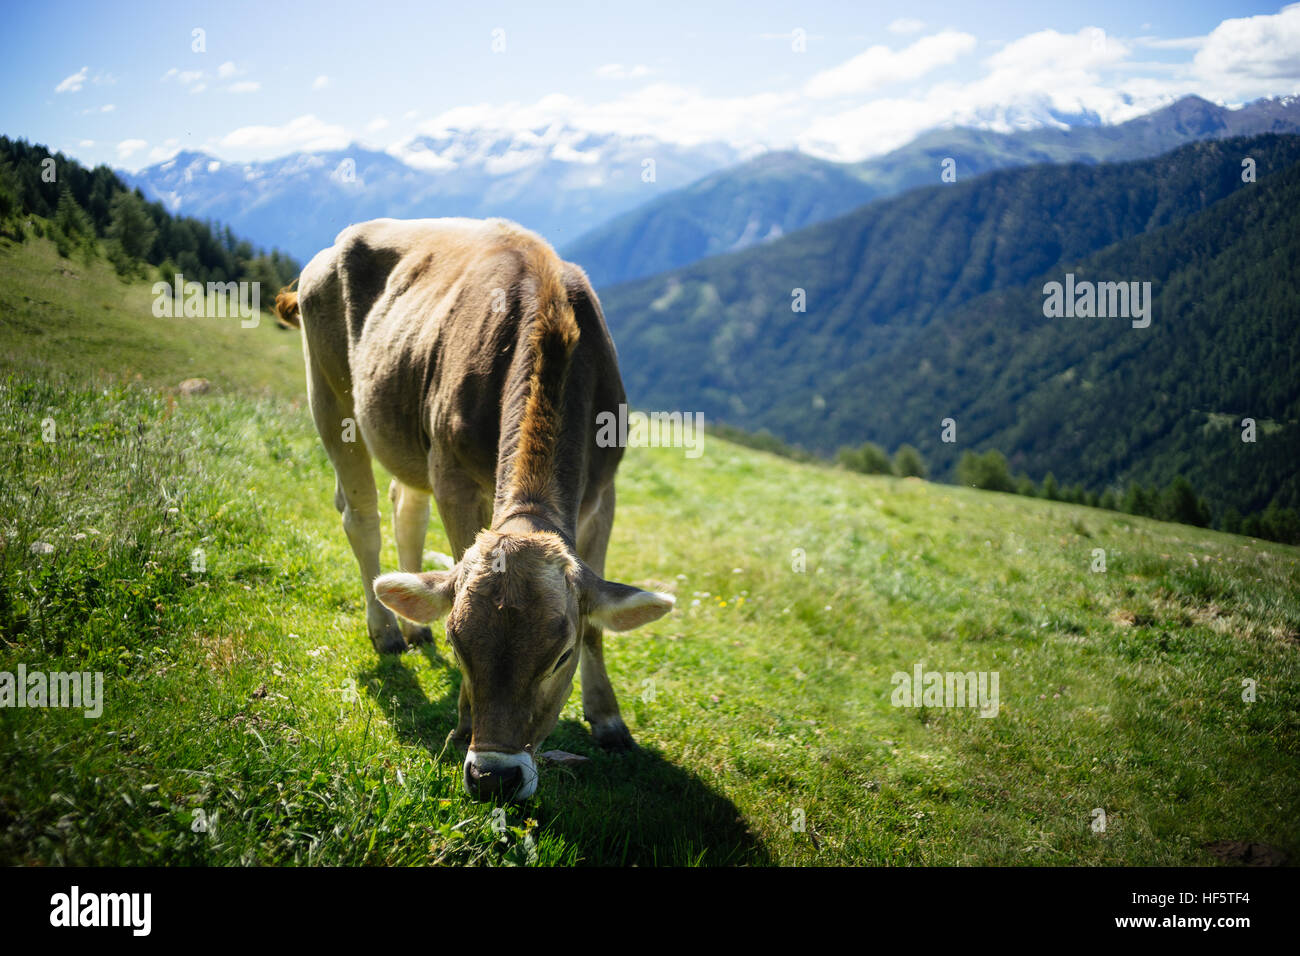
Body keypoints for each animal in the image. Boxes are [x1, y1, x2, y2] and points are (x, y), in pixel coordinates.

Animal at [274, 218, 674, 801]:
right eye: (459, 644)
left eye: (561, 654)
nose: (494, 777)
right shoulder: (454, 478)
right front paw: (462, 722)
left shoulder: (603, 493)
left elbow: (600, 623)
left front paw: (608, 719)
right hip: (330, 397)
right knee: (362, 517)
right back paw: (387, 630)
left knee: (406, 509)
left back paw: (410, 623)